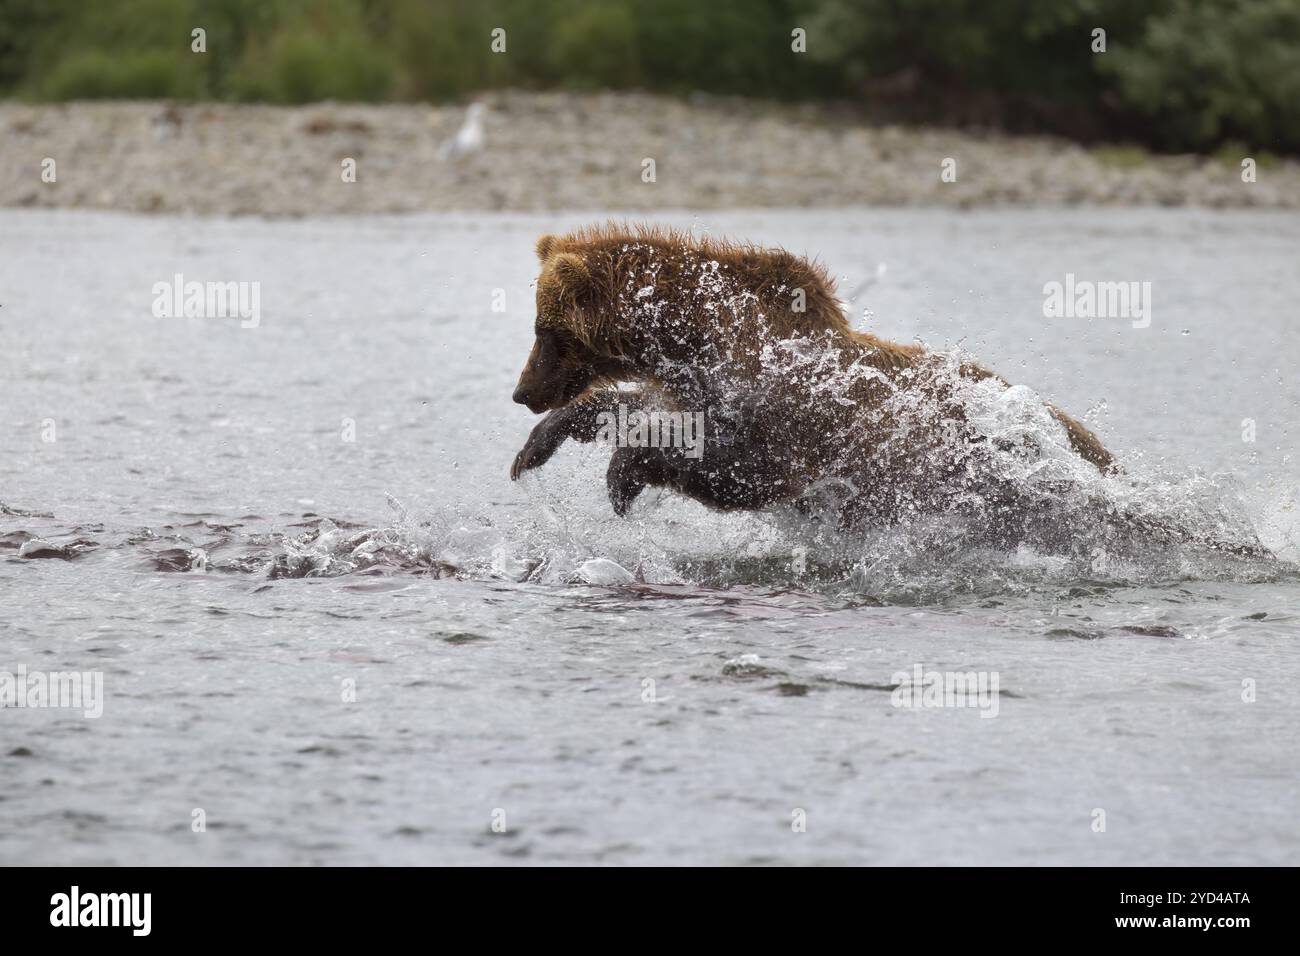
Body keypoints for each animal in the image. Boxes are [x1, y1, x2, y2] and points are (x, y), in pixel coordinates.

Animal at [508, 223, 1122, 539]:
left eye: (544, 330)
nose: (522, 392)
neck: (700, 338)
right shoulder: (705, 389)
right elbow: (645, 413)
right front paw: (535, 449)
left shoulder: (786, 412)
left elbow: (746, 470)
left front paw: (622, 476)